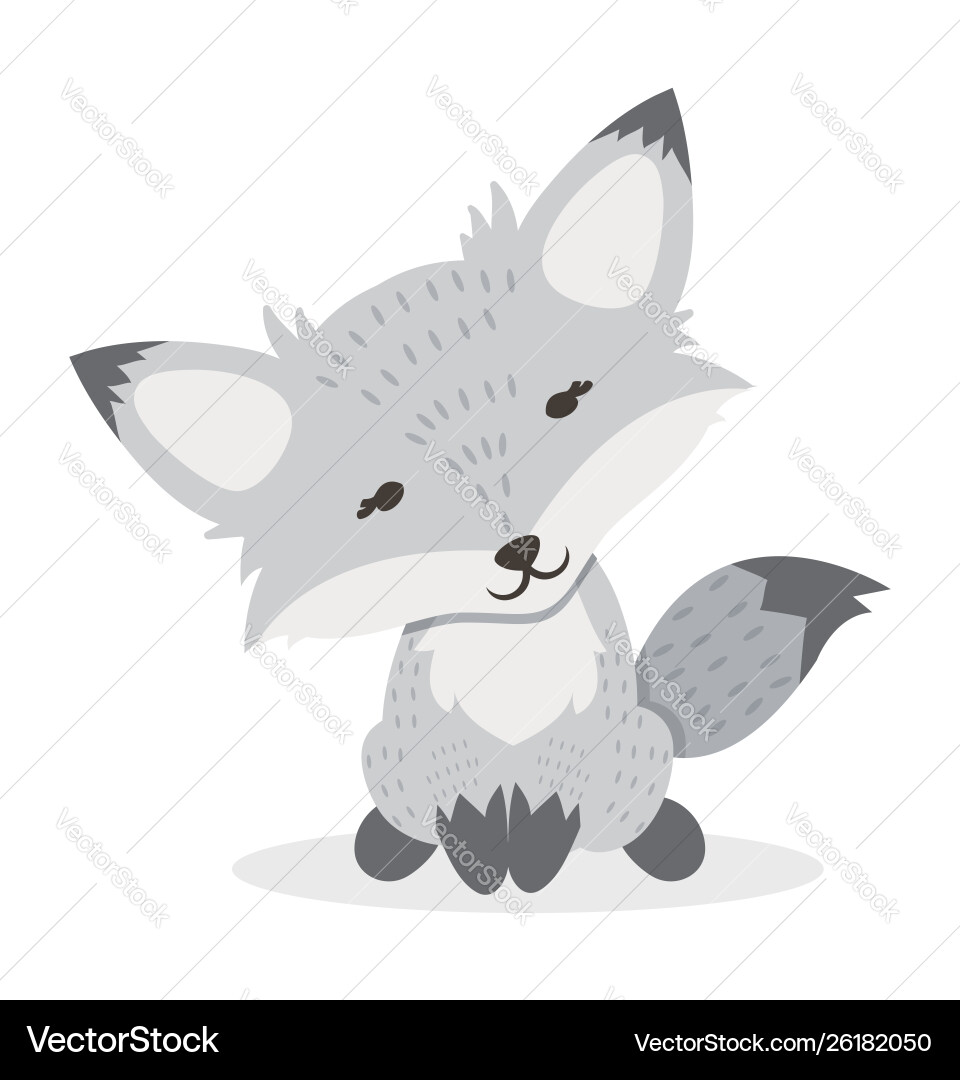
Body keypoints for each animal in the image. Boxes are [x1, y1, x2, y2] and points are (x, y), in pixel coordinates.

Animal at [71, 89, 885, 894]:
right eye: (382, 500)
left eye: (565, 402)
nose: (519, 548)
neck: (513, 656)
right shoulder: (438, 750)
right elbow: (469, 821)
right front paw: (486, 868)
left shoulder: (583, 743)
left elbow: (552, 820)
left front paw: (532, 865)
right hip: (382, 756)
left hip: (640, 746)